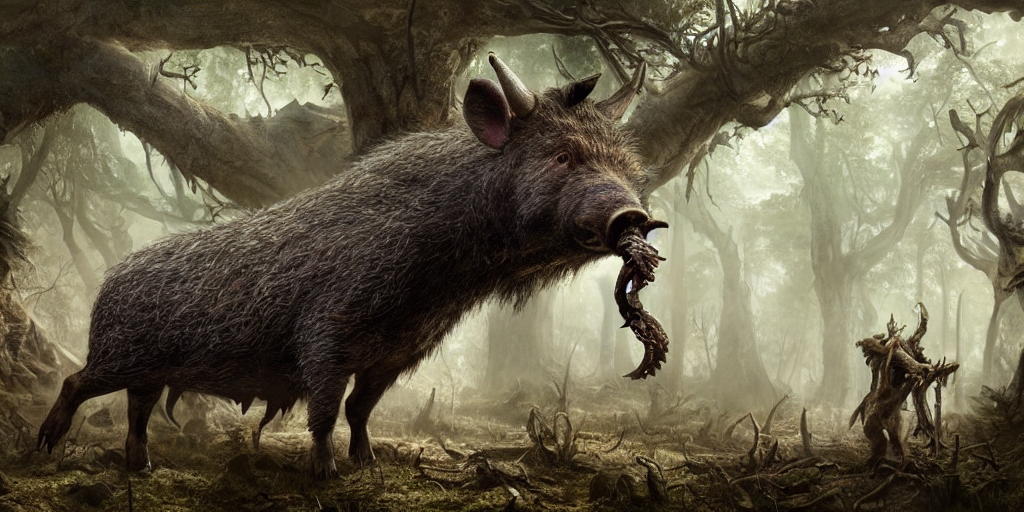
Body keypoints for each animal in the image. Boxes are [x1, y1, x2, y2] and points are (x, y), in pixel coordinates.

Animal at [37, 53, 663, 478]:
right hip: (119, 355)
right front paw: (327, 474)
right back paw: (45, 445)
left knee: (137, 409)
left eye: (628, 165)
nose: (633, 214)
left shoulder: (398, 353)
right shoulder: (325, 335)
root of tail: (108, 282)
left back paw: (140, 466)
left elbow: (362, 409)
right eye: (563, 156)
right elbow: (323, 410)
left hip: (148, 370)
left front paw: (367, 463)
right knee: (76, 381)